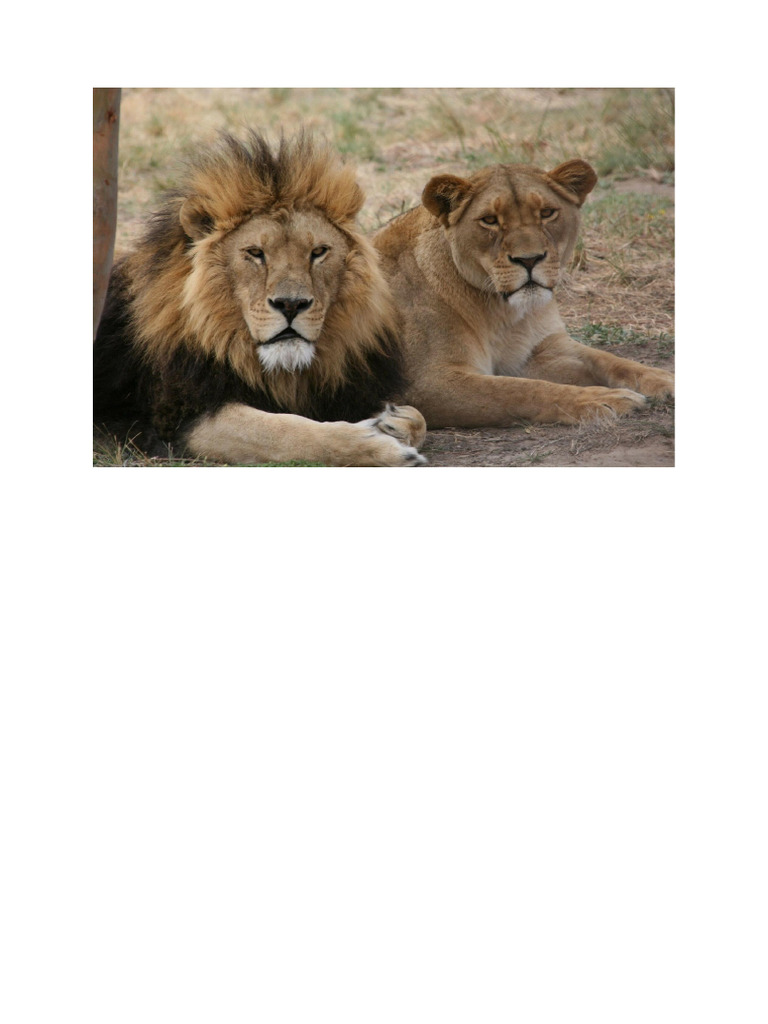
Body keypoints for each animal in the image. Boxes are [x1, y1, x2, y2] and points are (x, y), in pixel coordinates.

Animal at [94, 131, 427, 466]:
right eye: (255, 253)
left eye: (318, 252)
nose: (291, 304)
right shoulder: (181, 419)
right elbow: (286, 431)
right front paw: (381, 447)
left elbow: (418, 415)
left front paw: (394, 420)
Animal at [372, 158, 674, 428]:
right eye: (489, 220)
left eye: (547, 213)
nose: (529, 260)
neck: (502, 312)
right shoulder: (426, 383)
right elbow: (520, 391)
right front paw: (602, 399)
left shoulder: (540, 351)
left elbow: (611, 360)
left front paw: (665, 380)